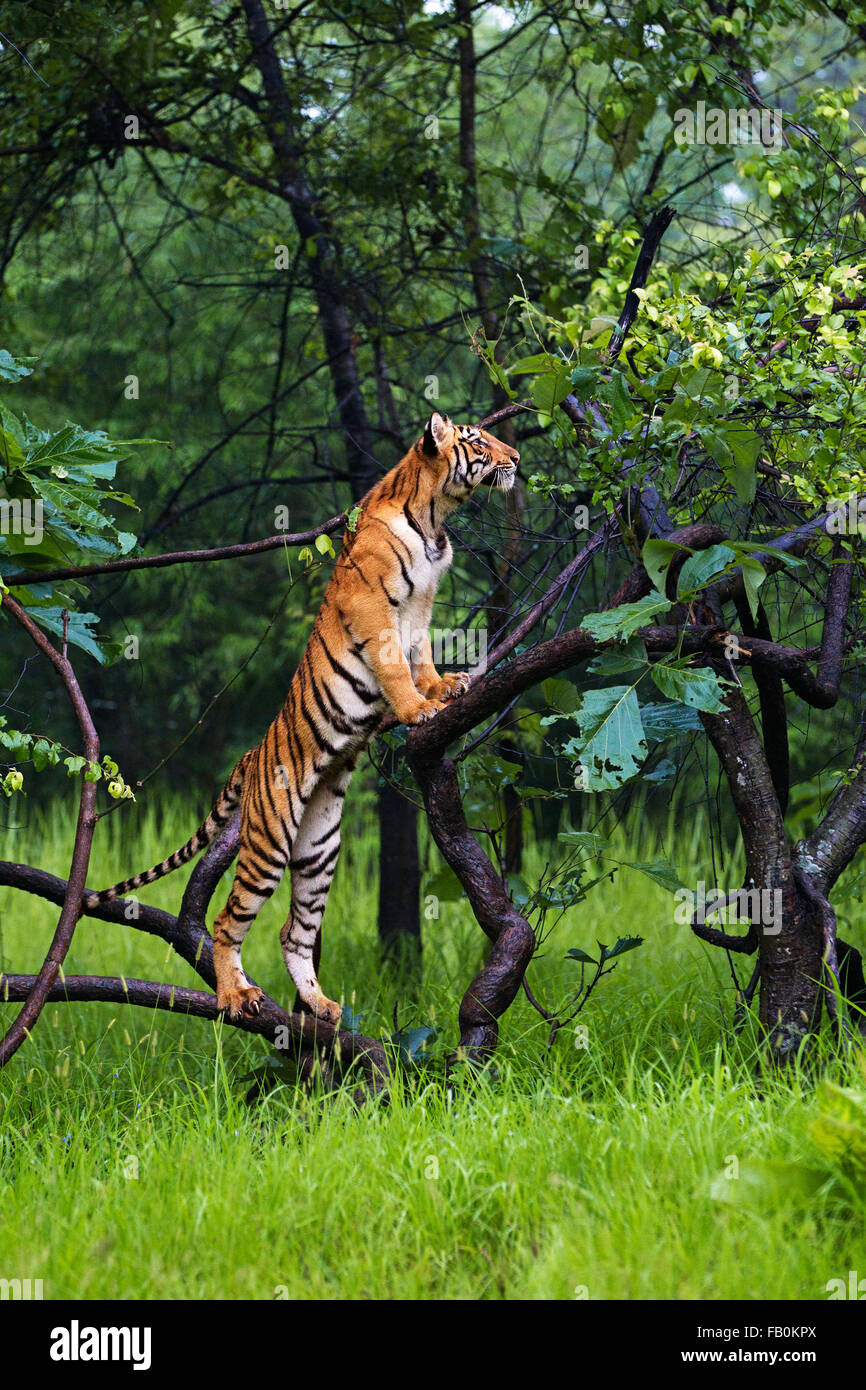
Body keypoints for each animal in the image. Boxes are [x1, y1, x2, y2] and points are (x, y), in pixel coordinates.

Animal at [84, 412, 519, 1023]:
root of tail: (249, 755)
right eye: (477, 441)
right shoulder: (376, 608)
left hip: (319, 850)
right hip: (268, 840)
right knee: (228, 920)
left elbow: (419, 656)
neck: (436, 522)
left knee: (294, 930)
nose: (517, 459)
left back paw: (320, 1005)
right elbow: (395, 666)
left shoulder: (421, 607)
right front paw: (418, 708)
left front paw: (443, 687)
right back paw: (235, 994)